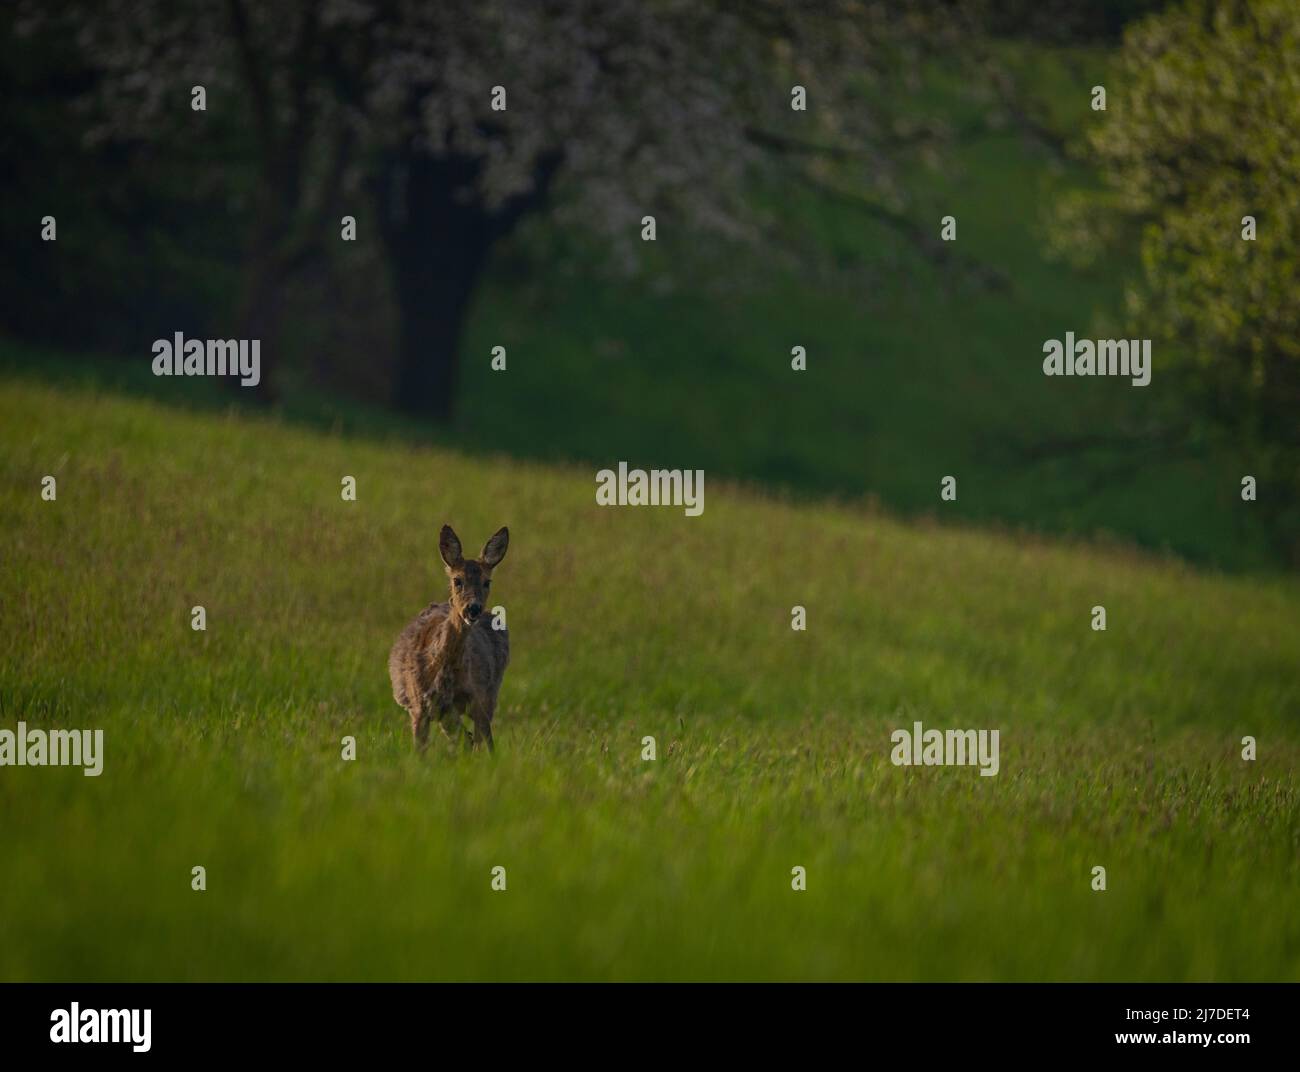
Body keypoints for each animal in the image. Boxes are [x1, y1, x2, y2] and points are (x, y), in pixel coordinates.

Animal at [388, 525, 510, 752]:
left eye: (487, 581)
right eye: (457, 580)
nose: (473, 608)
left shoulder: (478, 697)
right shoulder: (419, 706)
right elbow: (419, 751)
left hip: (490, 693)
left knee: (479, 740)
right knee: (466, 739)